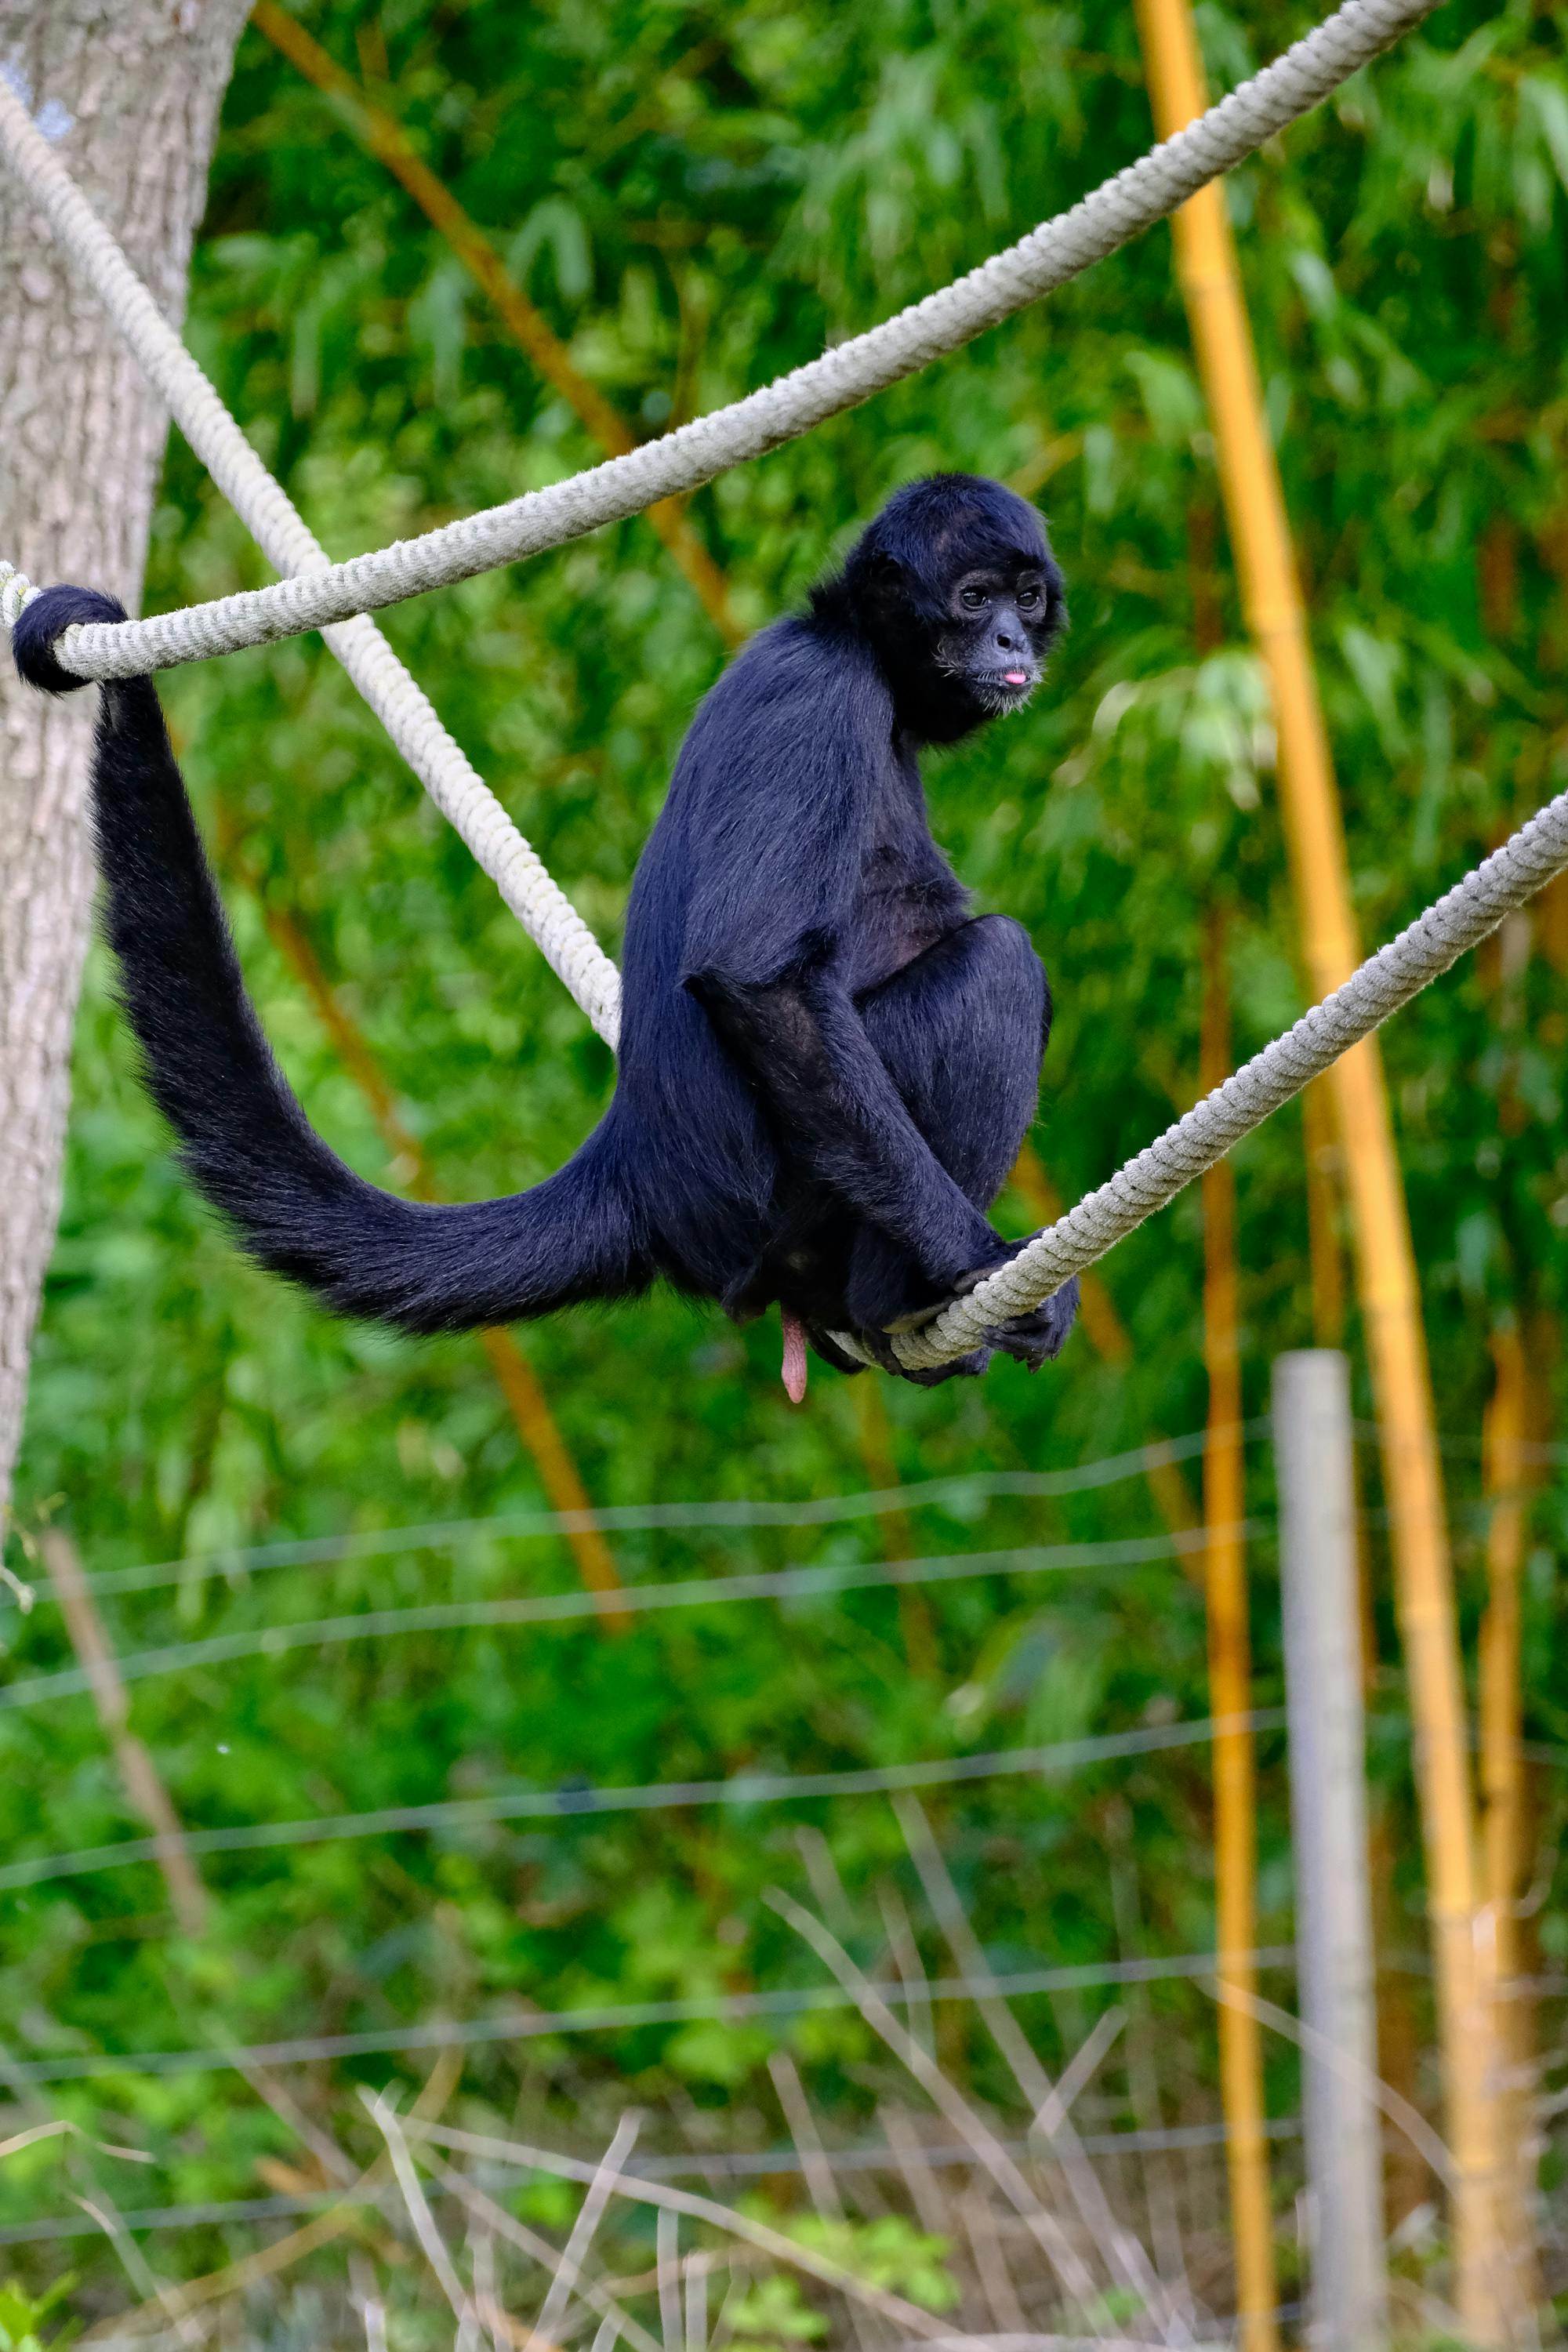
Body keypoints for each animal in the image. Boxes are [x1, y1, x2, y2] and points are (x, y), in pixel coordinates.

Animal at [13, 472, 1078, 1387]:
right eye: (973, 598)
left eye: (1026, 599)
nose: (1008, 641)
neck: (852, 646)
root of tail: (633, 1163)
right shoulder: (818, 696)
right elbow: (758, 979)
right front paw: (976, 1255)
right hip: (790, 1217)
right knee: (999, 963)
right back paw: (896, 1300)